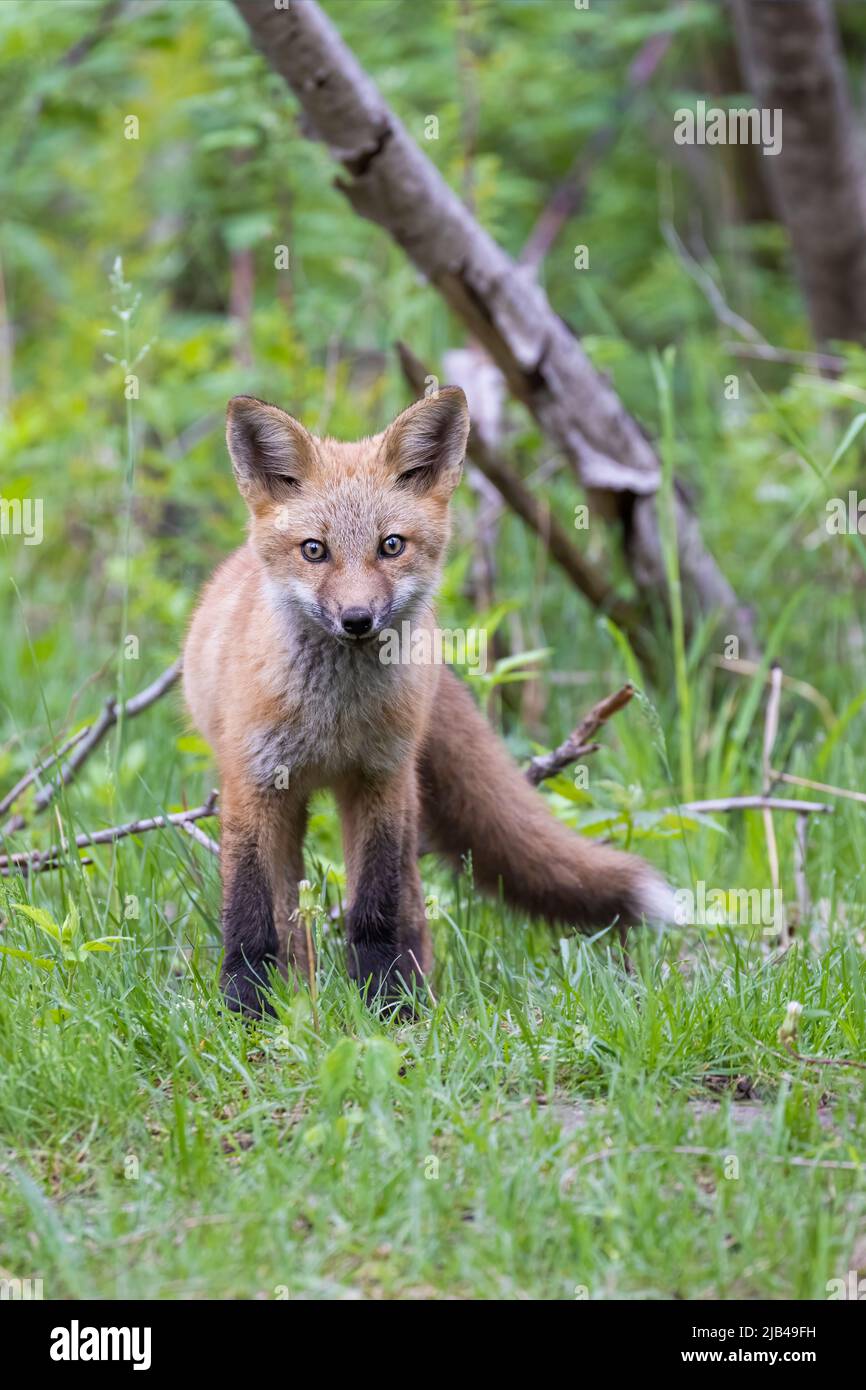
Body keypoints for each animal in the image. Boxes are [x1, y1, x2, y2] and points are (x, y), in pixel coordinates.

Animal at [183, 387, 673, 1016]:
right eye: (314, 550)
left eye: (391, 546)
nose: (357, 619)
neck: (333, 721)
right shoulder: (254, 784)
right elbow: (248, 918)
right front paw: (246, 1011)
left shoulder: (379, 779)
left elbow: (374, 912)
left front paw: (386, 1008)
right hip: (292, 809)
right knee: (289, 915)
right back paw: (297, 993)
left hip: (403, 803)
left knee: (408, 907)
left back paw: (412, 995)